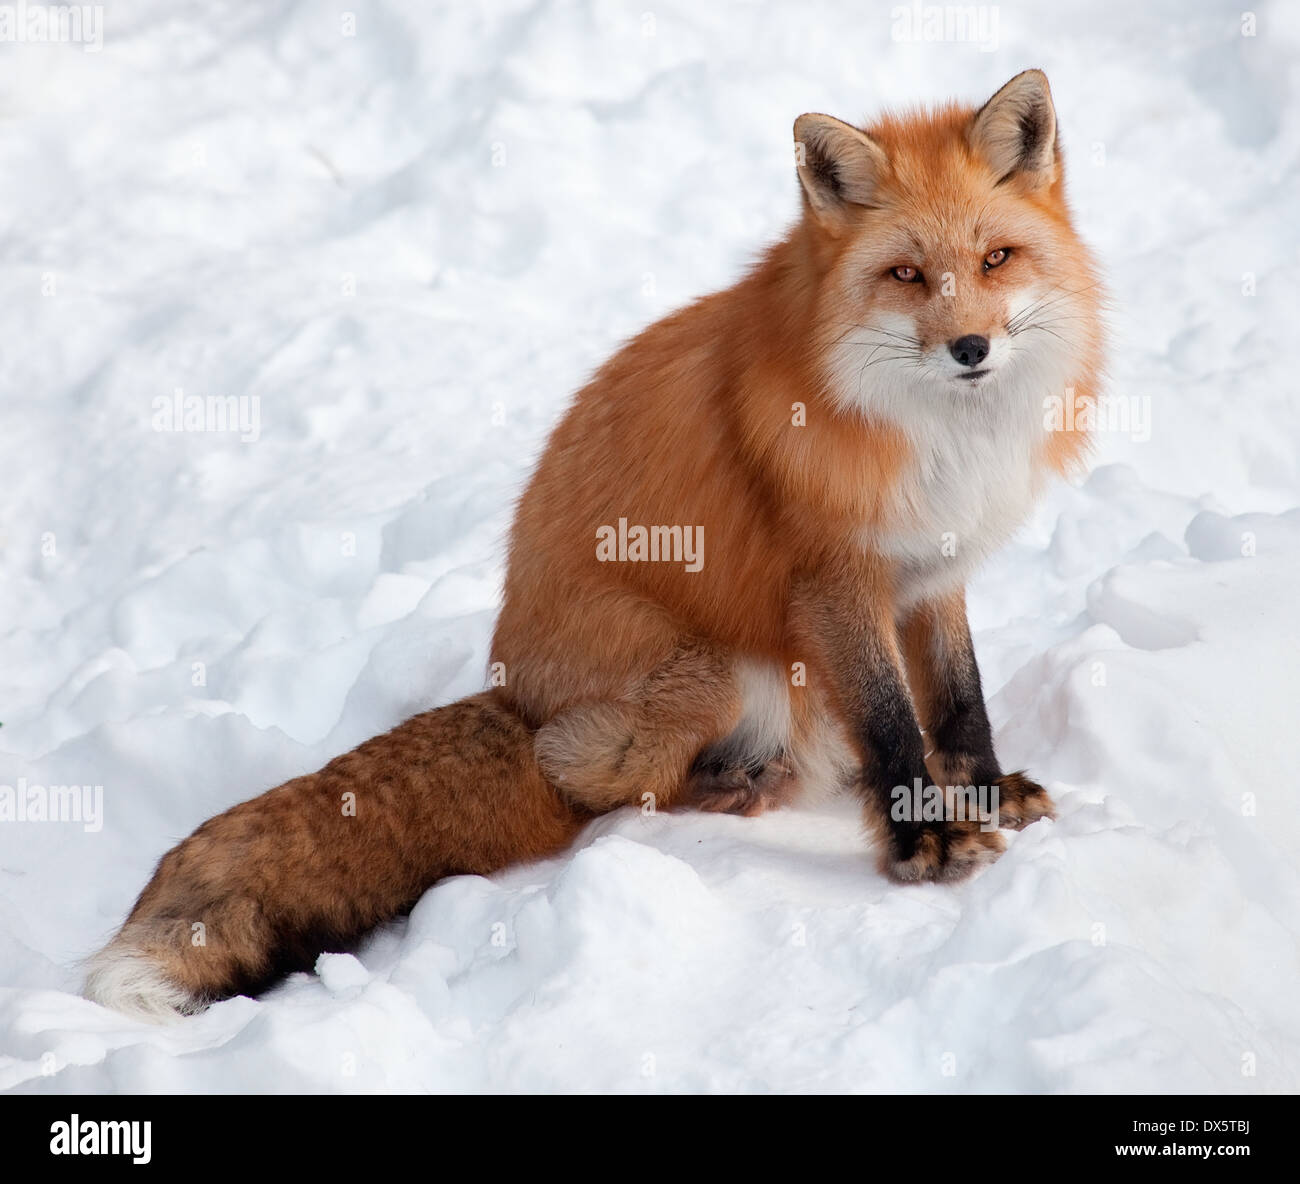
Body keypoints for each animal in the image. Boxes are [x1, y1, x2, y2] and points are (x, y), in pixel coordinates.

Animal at [85, 69, 1105, 1020]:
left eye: (996, 259)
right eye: (905, 275)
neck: (938, 437)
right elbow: (893, 723)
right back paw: (738, 784)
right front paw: (923, 839)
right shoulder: (834, 581)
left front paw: (983, 792)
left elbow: (958, 699)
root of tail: (515, 693)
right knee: (592, 780)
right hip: (711, 672)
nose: (971, 348)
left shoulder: (931, 571)